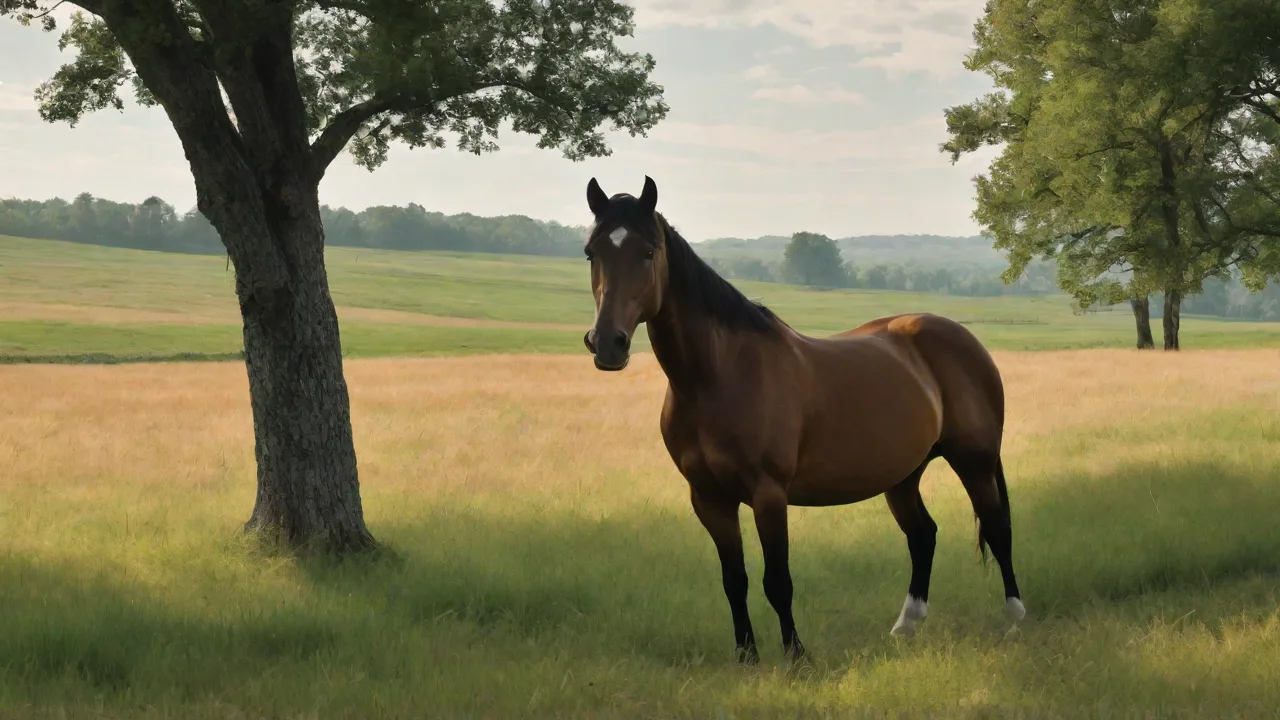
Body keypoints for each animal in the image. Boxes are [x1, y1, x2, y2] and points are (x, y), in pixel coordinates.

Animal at [579, 176, 1026, 664]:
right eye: (591, 252)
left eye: (647, 251)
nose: (608, 344)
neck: (718, 377)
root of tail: (964, 339)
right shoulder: (709, 499)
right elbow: (734, 581)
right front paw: (747, 657)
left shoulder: (769, 494)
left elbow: (778, 581)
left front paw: (795, 655)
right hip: (904, 474)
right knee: (923, 534)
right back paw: (906, 625)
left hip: (974, 462)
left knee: (998, 528)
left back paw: (1014, 617)